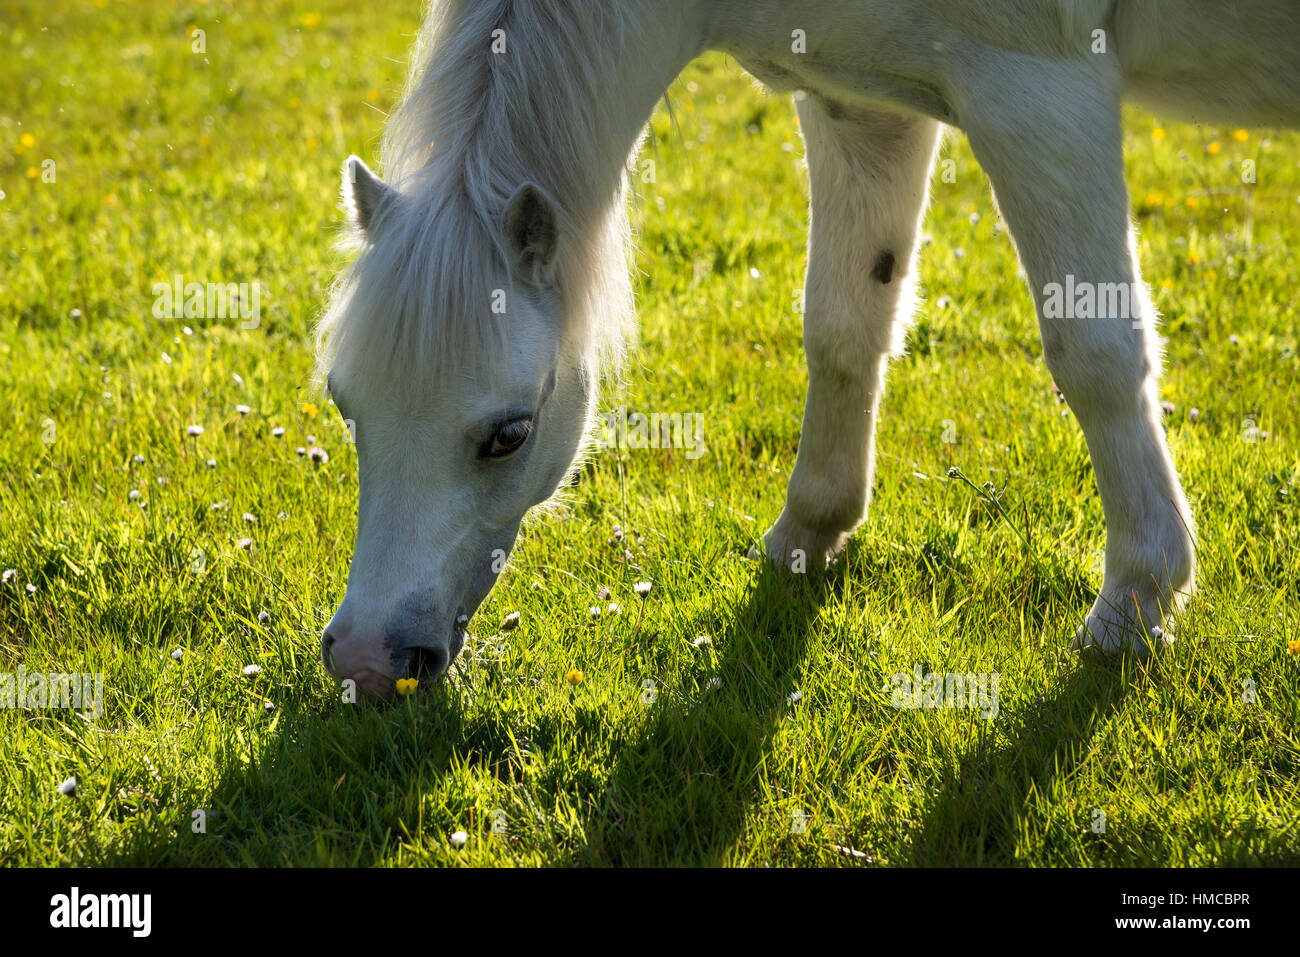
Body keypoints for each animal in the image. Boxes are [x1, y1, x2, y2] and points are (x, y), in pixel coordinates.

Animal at [315, 0, 1300, 698]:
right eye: (345, 407)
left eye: (509, 435)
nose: (364, 659)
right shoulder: (857, 102)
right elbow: (843, 324)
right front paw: (810, 530)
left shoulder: (1040, 90)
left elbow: (1093, 350)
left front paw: (1136, 599)